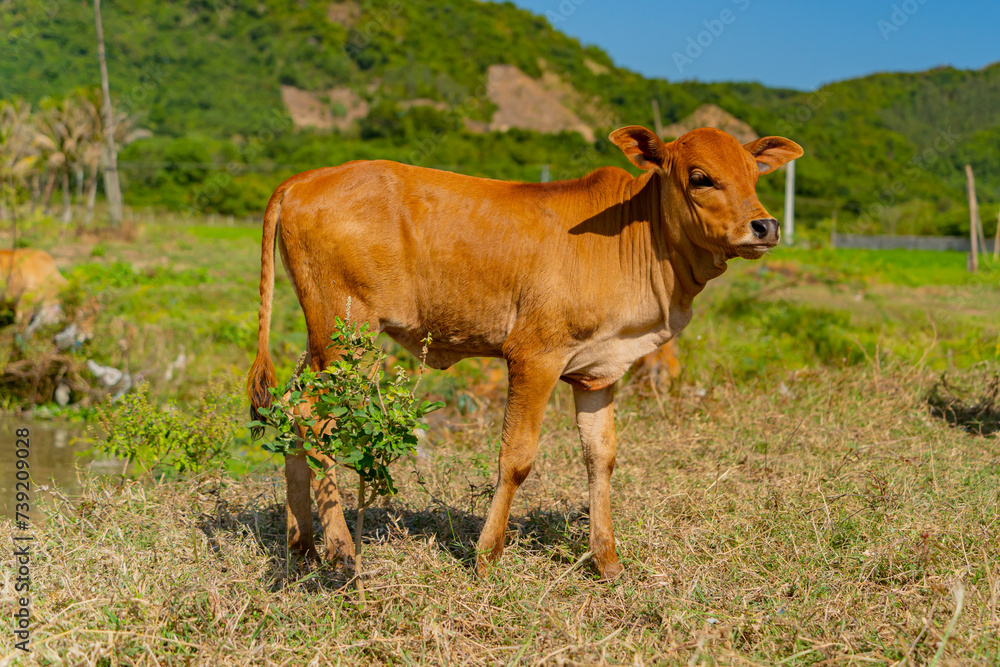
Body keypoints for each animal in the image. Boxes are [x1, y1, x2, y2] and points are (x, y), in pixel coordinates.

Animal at [248, 125, 802, 579]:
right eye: (701, 177)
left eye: (755, 174)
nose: (765, 226)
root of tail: (304, 178)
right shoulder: (535, 356)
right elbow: (516, 458)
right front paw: (486, 556)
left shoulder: (599, 371)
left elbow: (601, 457)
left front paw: (608, 561)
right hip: (346, 336)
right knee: (314, 418)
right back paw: (341, 551)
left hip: (322, 340)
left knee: (290, 410)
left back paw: (302, 545)